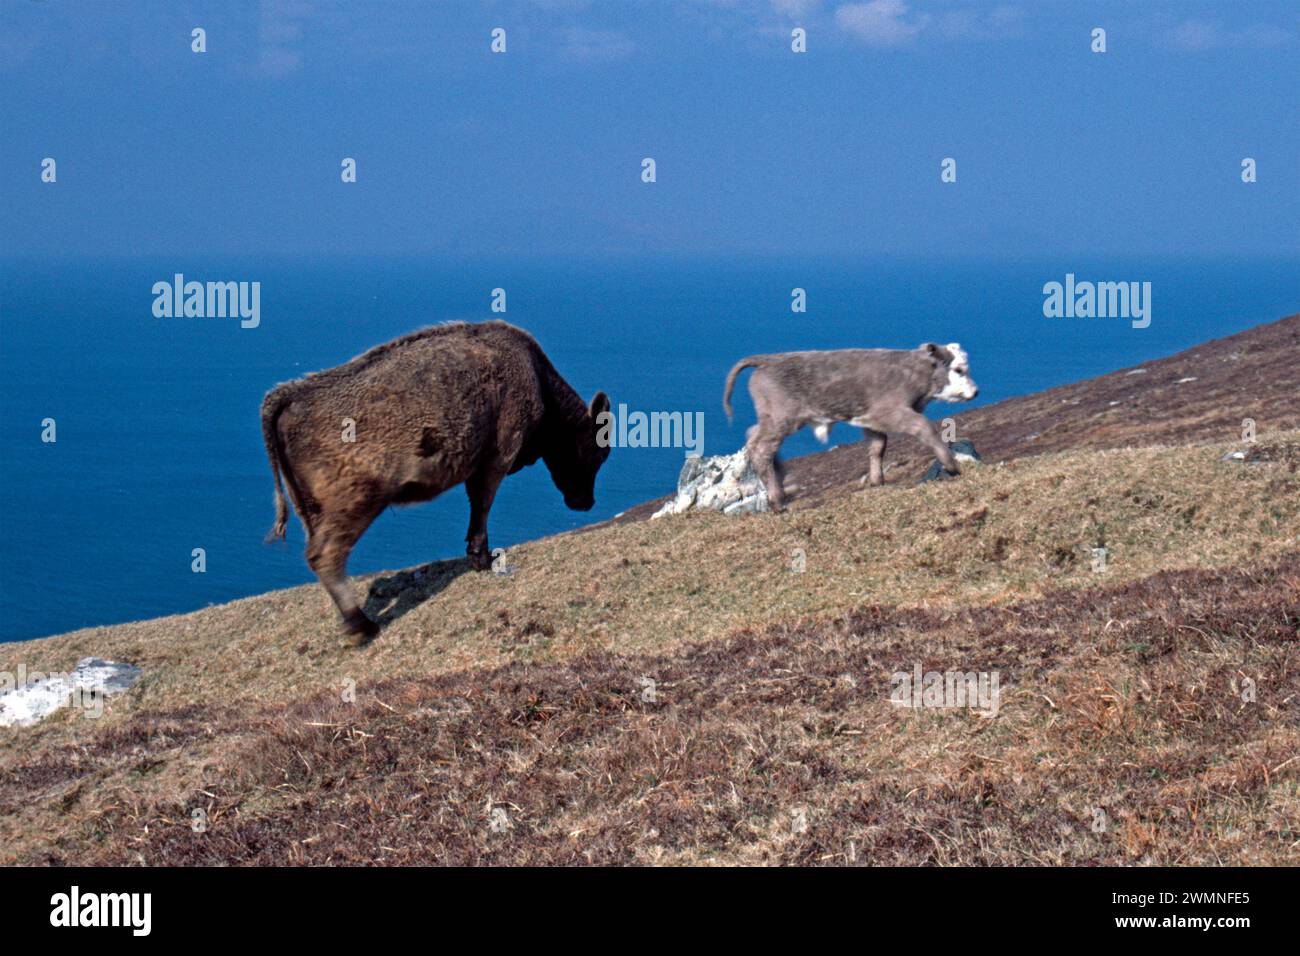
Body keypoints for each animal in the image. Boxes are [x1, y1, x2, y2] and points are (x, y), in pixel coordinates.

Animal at [261, 321, 611, 645]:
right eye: (598, 452)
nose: (586, 502)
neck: (535, 375)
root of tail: (290, 394)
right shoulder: (497, 457)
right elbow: (483, 503)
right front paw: (482, 558)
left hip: (310, 509)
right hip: (355, 502)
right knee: (326, 555)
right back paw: (362, 624)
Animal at [723, 343, 978, 511]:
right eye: (958, 369)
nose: (976, 392)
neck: (912, 372)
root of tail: (768, 359)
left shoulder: (872, 421)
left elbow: (878, 447)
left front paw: (877, 481)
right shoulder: (891, 412)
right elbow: (924, 428)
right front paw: (951, 465)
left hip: (772, 420)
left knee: (753, 437)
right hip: (781, 419)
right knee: (761, 448)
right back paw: (777, 500)